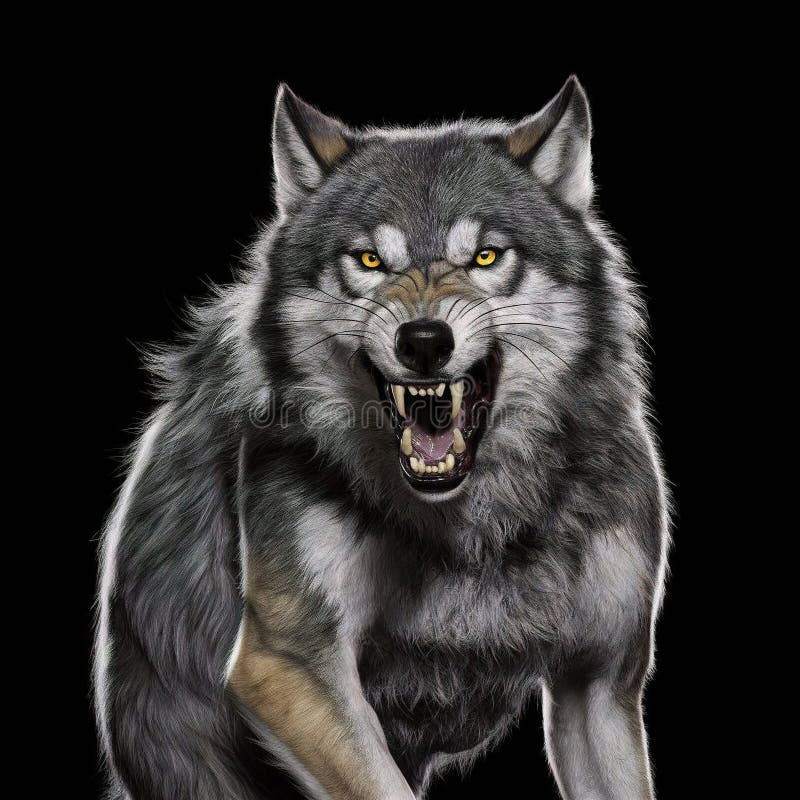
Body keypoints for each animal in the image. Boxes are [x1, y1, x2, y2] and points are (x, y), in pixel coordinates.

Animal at [94, 77, 669, 800]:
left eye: (485, 255)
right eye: (369, 259)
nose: (423, 340)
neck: (466, 530)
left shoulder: (599, 687)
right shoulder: (286, 664)